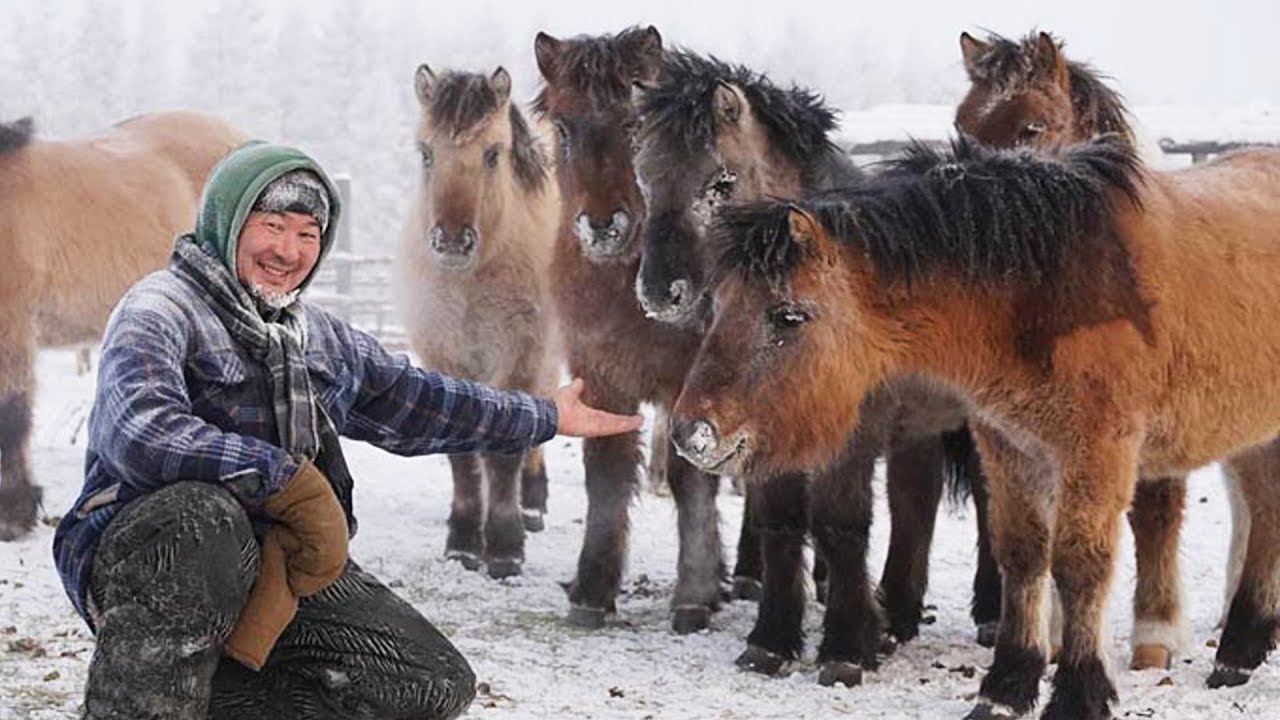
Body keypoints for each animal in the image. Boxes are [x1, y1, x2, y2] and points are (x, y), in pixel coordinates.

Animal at [393, 66, 561, 578]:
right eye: (425, 151)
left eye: (492, 153)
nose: (451, 240)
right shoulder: (445, 358)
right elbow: (462, 451)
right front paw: (464, 541)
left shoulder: (521, 355)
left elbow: (506, 453)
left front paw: (504, 548)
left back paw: (531, 506)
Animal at [534, 26, 729, 633]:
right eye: (563, 126)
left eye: (634, 126)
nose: (603, 225)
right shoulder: (600, 377)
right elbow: (607, 473)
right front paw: (592, 590)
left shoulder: (693, 382)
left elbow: (693, 479)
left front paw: (693, 596)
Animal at [631, 49, 996, 685]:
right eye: (645, 175)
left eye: (720, 181)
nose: (660, 291)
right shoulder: (762, 420)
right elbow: (780, 519)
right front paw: (772, 641)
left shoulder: (850, 435)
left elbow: (840, 523)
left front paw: (845, 648)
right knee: (916, 500)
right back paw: (898, 616)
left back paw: (991, 614)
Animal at [670, 135, 1280, 720]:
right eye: (720, 306)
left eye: (788, 316)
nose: (690, 433)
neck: (1049, 289)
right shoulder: (1010, 445)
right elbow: (1022, 553)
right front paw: (1007, 687)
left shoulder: (1098, 451)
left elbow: (1080, 565)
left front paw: (1077, 695)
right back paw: (1241, 650)